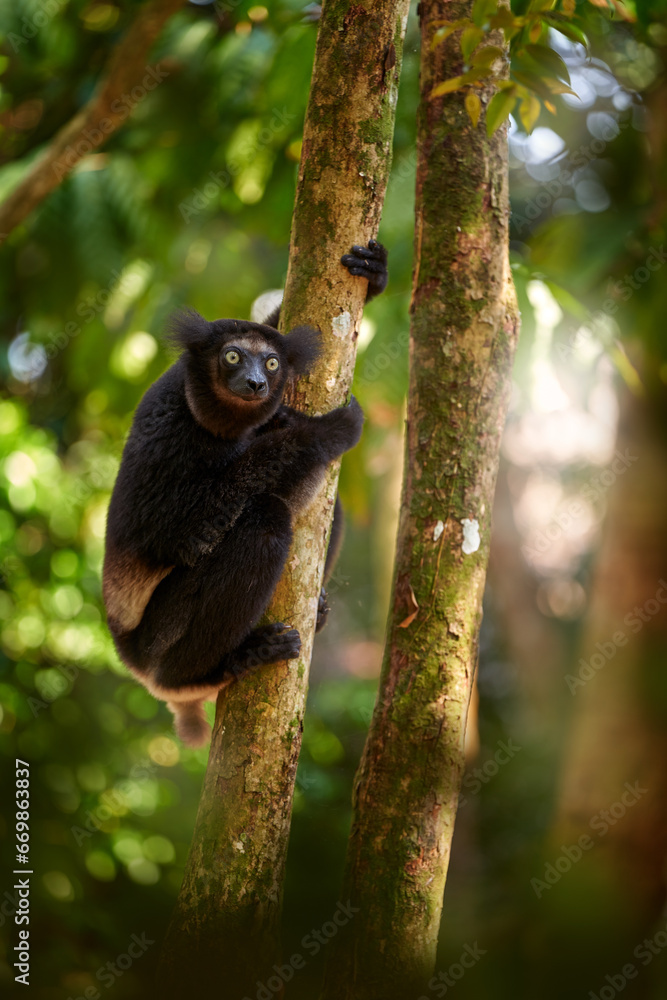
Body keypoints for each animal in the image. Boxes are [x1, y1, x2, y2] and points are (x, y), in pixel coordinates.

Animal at [102, 239, 388, 748]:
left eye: (272, 363)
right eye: (233, 358)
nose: (255, 384)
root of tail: (135, 662)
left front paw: (372, 273)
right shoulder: (169, 435)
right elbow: (181, 533)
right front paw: (325, 431)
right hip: (161, 639)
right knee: (265, 519)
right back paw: (227, 662)